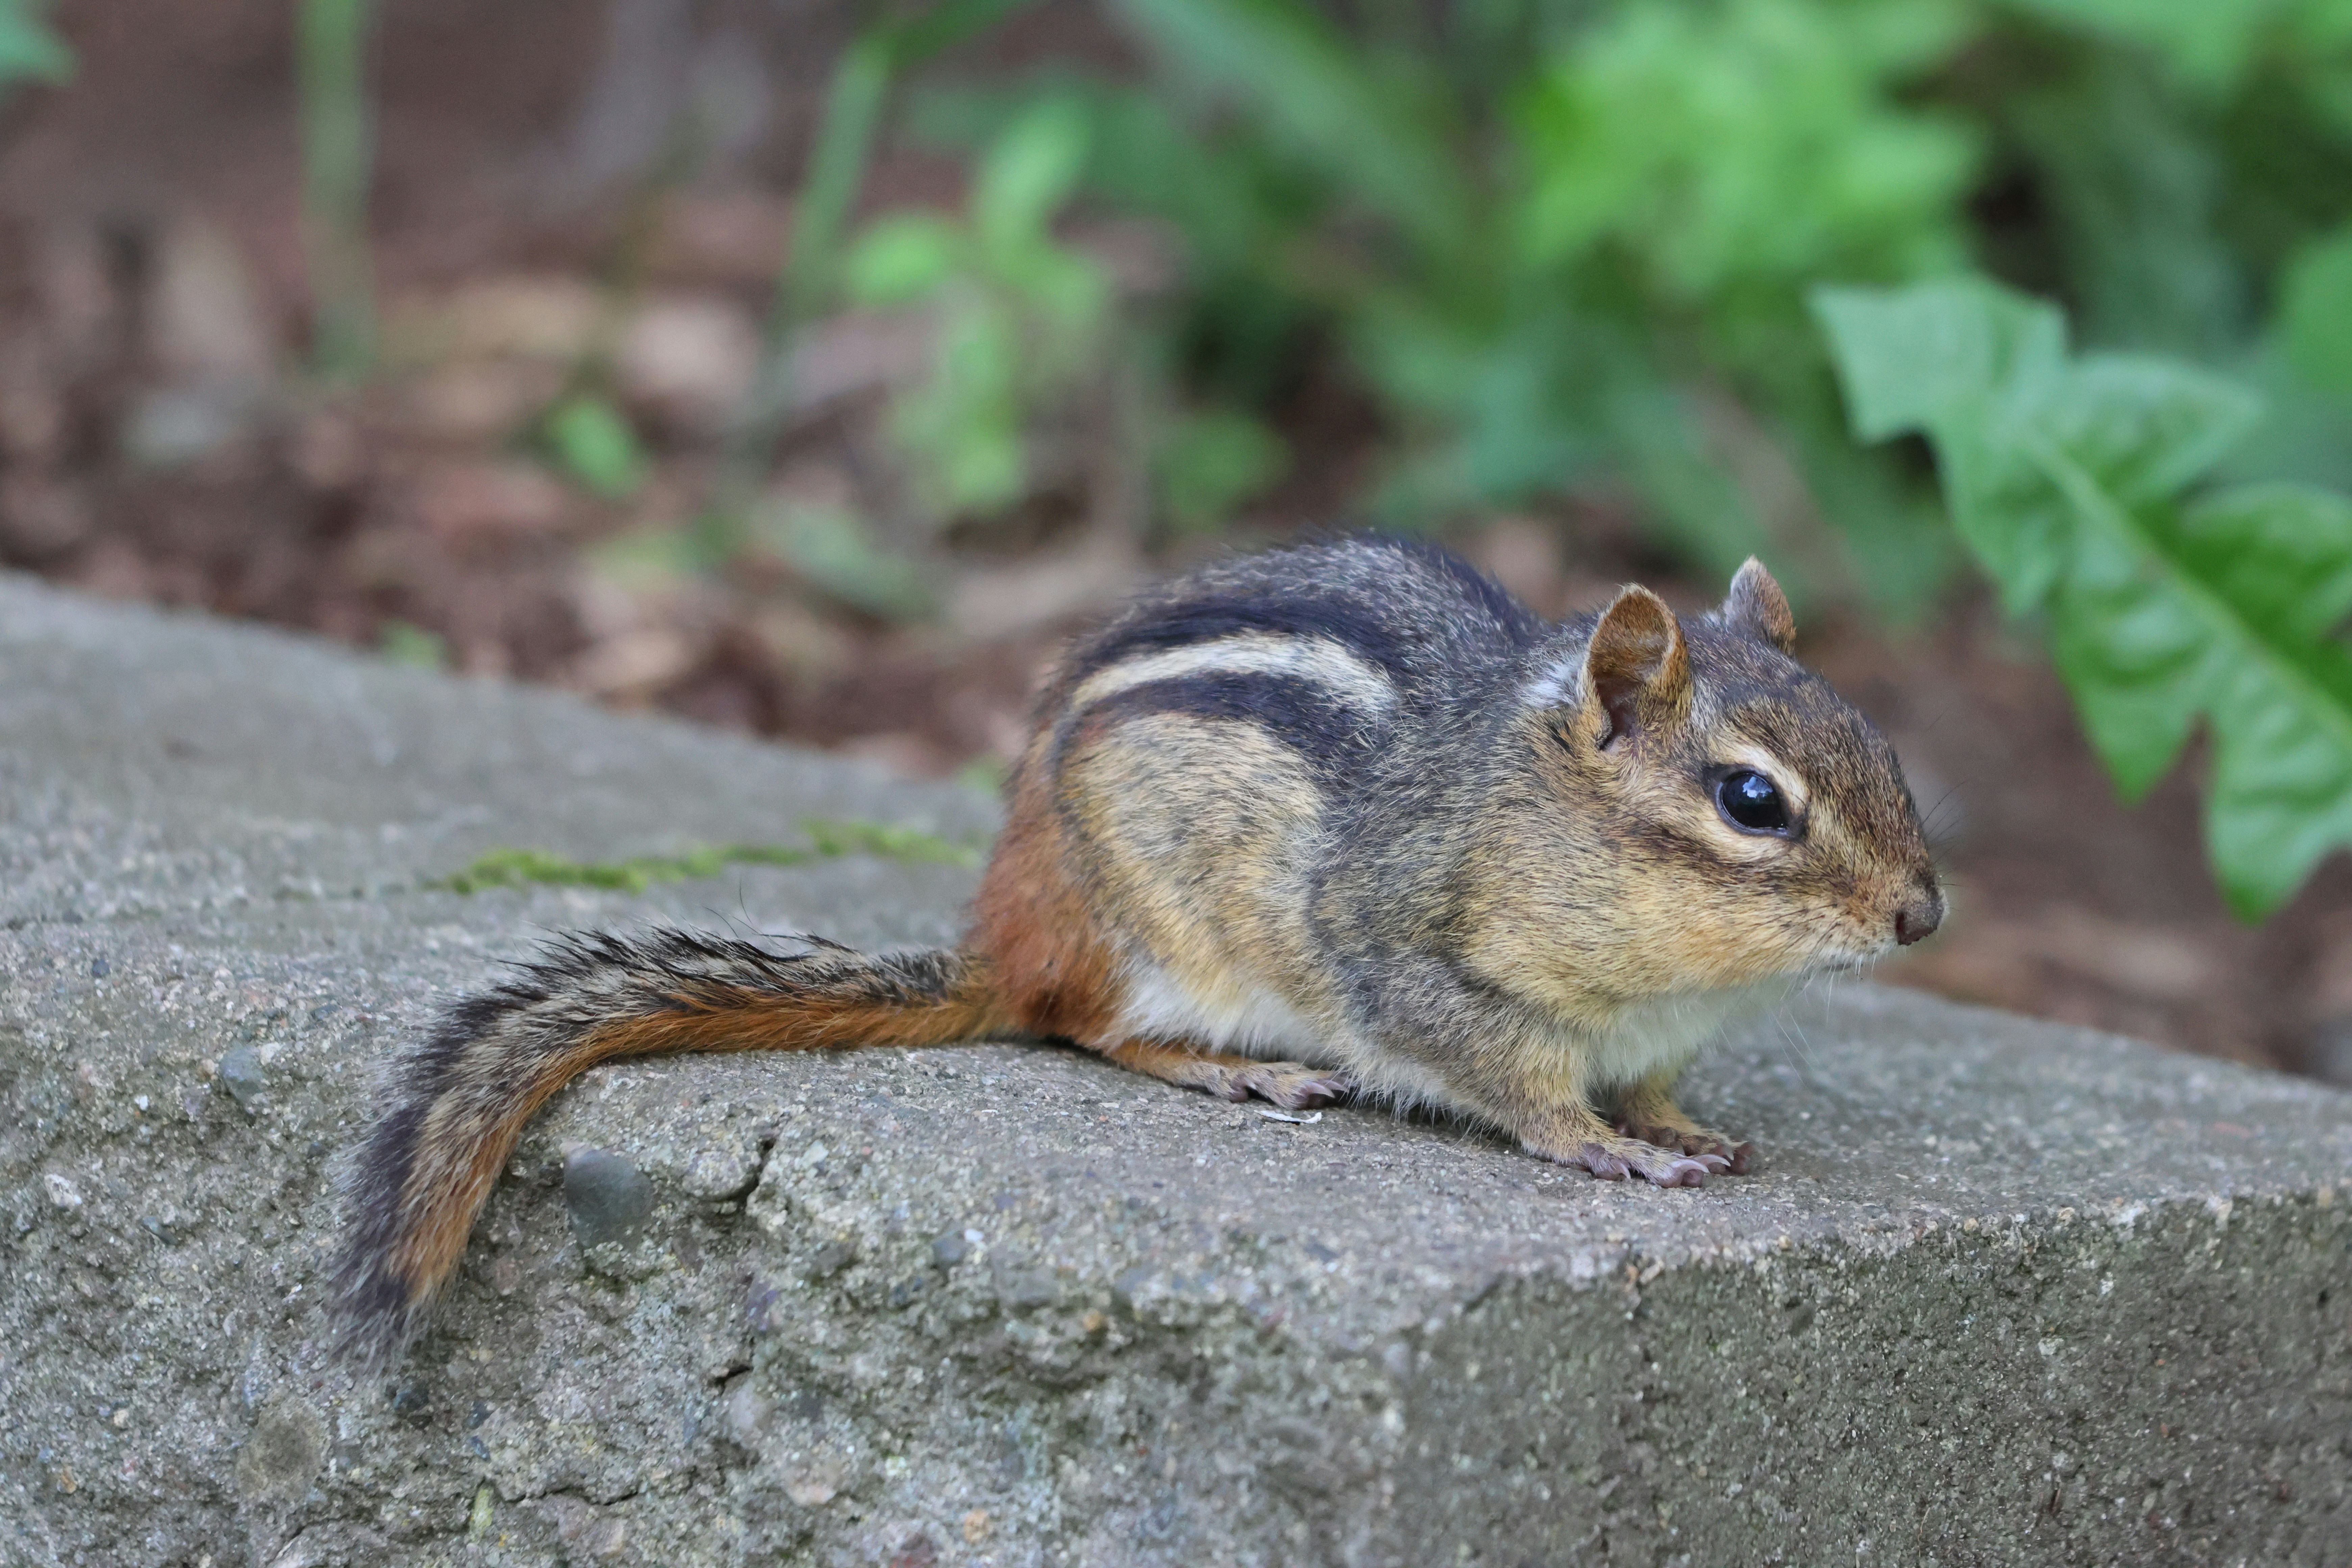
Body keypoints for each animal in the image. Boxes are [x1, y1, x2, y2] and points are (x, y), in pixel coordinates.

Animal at [329, 534, 1942, 1364]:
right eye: (1750, 800)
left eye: (1877, 742)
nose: (1922, 914)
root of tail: (1003, 930)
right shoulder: (1401, 953)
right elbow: (1509, 1075)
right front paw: (1597, 1144)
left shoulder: (1655, 1032)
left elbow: (1658, 1086)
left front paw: (1680, 1127)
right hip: (1152, 934)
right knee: (1082, 1024)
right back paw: (1232, 1071)